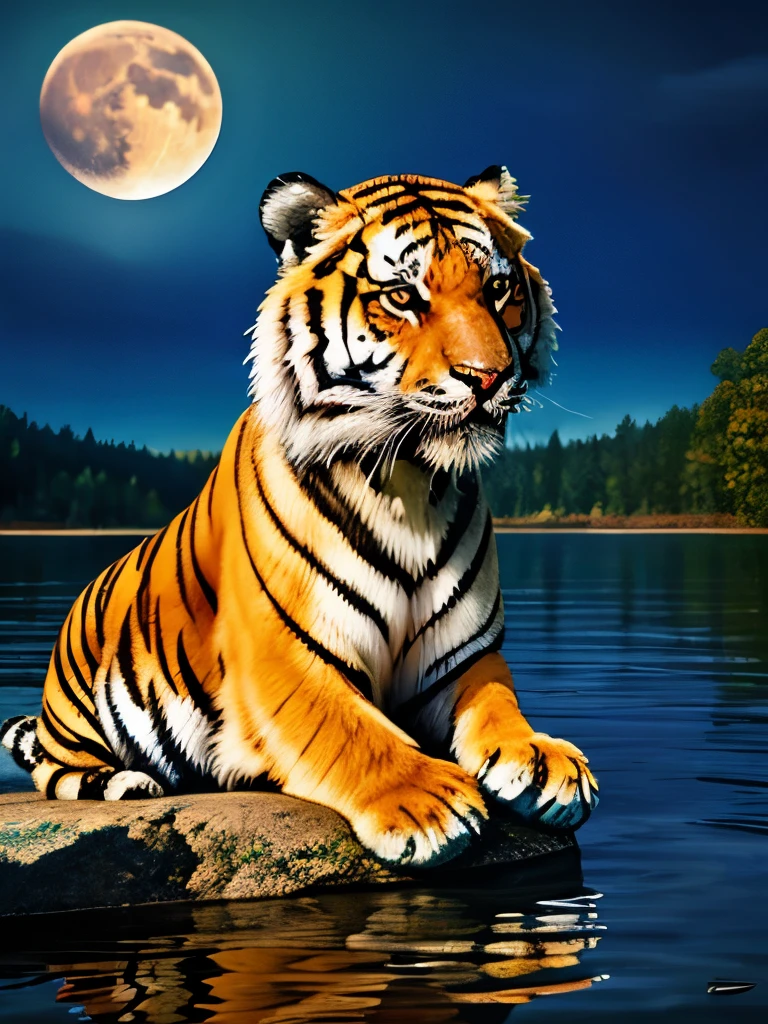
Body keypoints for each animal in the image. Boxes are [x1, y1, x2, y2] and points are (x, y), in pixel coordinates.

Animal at [1, 166, 597, 866]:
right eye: (402, 296)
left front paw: (542, 761)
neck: (408, 483)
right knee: (57, 769)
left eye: (498, 289)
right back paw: (130, 782)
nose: (489, 377)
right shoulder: (283, 656)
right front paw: (427, 802)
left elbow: (498, 701)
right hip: (73, 723)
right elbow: (349, 729)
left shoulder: (461, 657)